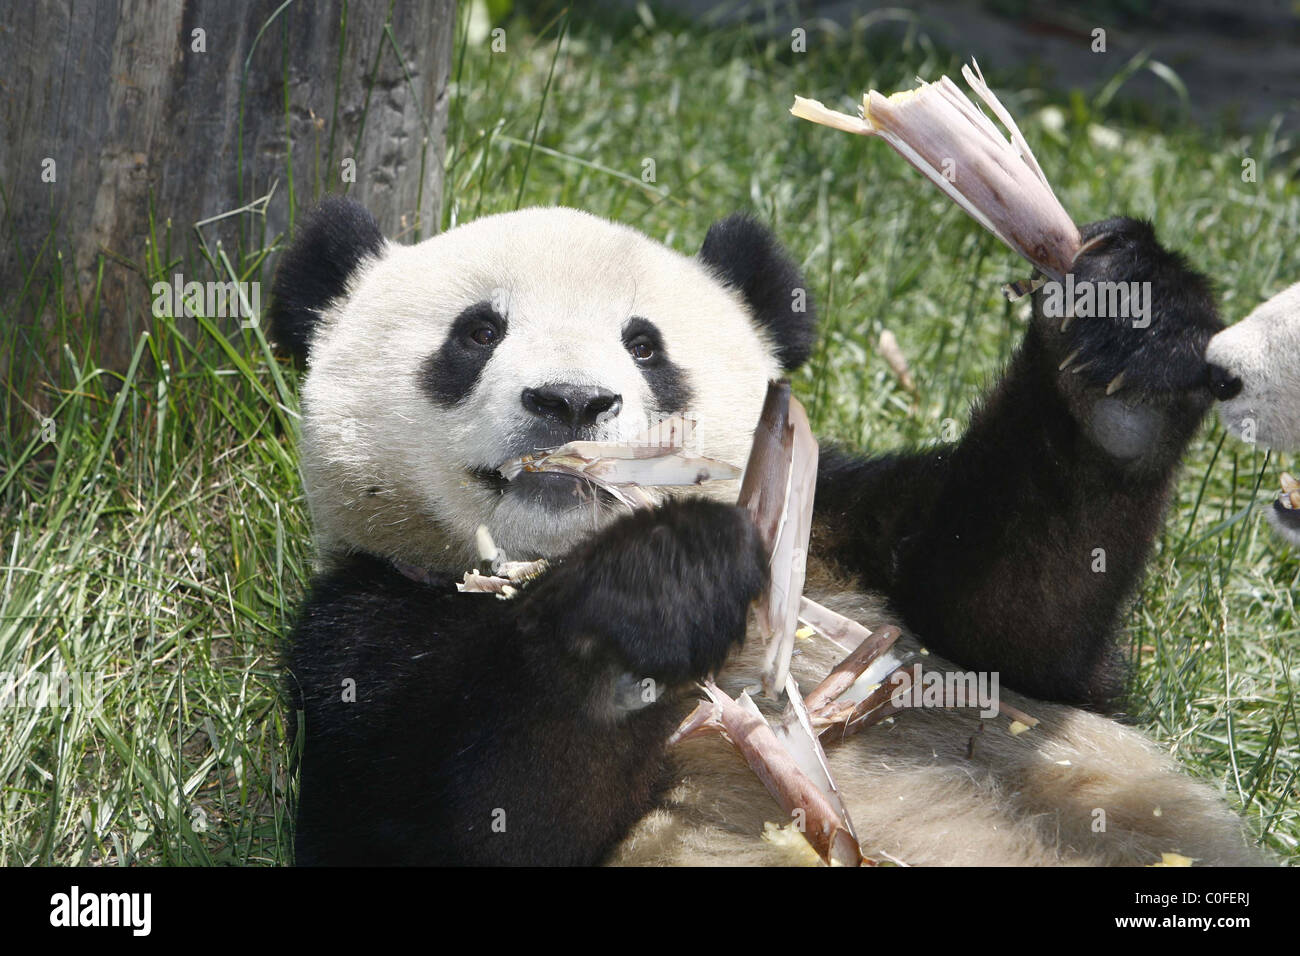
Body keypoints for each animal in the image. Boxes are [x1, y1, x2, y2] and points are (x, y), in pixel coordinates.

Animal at [272, 197, 1265, 866]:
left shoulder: (837, 531)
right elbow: (476, 816)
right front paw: (655, 592)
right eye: (477, 331)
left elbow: (1015, 625)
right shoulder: (371, 617)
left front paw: (1123, 345)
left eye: (644, 344)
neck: (545, 559)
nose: (570, 402)